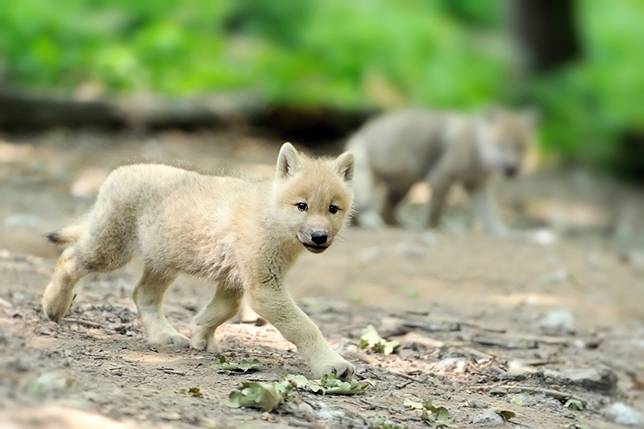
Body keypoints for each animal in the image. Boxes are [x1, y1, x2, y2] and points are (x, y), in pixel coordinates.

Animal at [41, 143, 356, 379]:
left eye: (333, 209)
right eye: (302, 206)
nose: (319, 237)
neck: (270, 217)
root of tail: (117, 173)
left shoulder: (235, 279)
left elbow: (224, 310)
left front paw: (200, 334)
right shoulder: (264, 288)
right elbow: (305, 326)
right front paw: (331, 364)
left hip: (162, 261)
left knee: (143, 294)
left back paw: (164, 335)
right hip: (110, 250)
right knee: (69, 259)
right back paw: (53, 306)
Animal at [348, 108, 536, 234]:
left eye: (522, 148)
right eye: (501, 145)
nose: (512, 169)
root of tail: (361, 134)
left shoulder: (476, 186)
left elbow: (489, 212)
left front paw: (501, 232)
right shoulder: (441, 178)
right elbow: (435, 209)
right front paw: (430, 228)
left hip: (401, 186)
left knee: (384, 210)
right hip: (396, 177)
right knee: (372, 206)